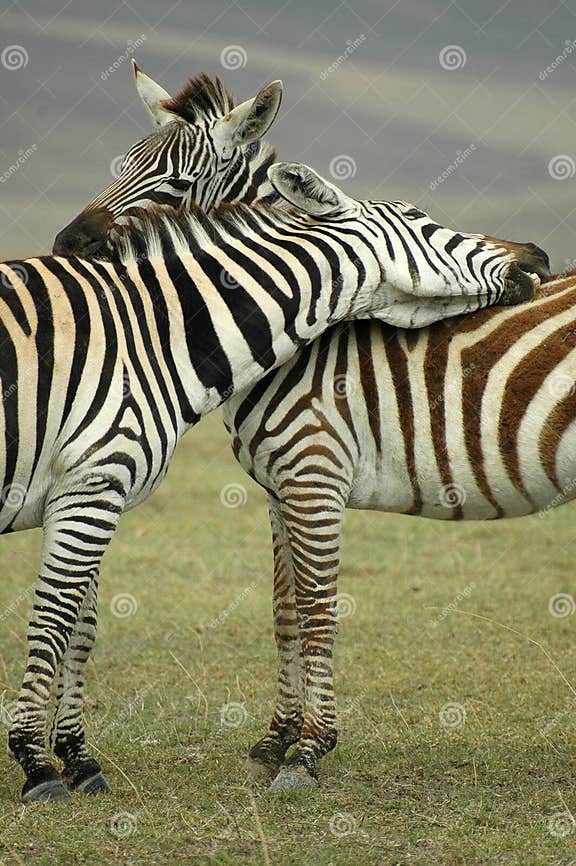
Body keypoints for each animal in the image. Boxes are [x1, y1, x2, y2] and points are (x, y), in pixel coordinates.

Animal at [4, 162, 539, 804]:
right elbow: (55, 620)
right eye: (417, 217)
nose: (537, 257)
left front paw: (75, 759)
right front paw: (38, 765)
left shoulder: (90, 489)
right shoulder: (94, 483)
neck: (149, 335)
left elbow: (78, 625)